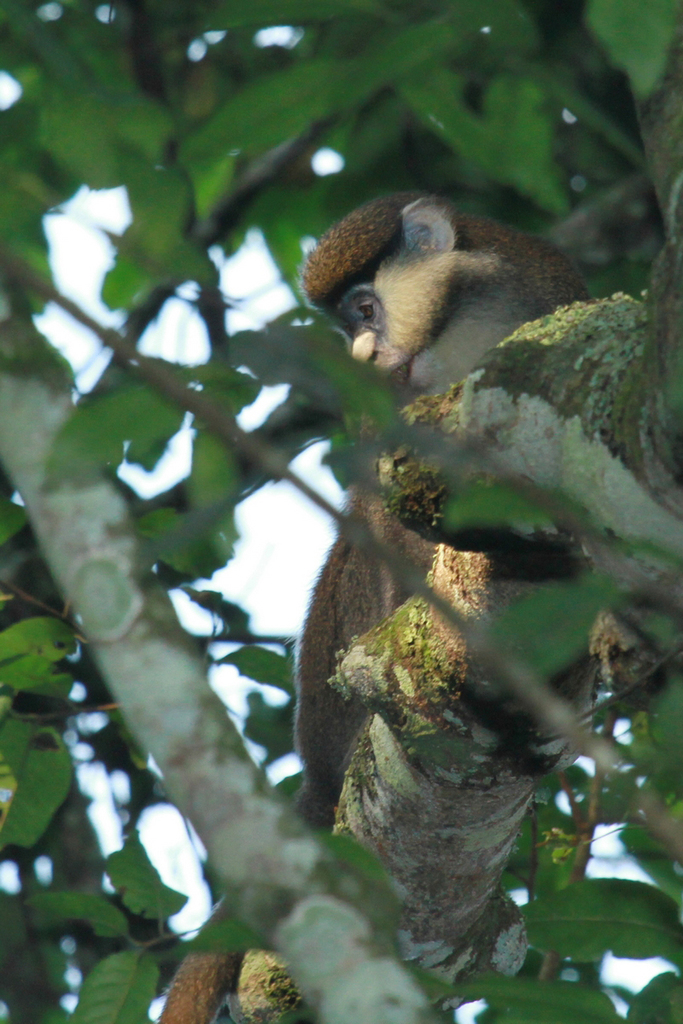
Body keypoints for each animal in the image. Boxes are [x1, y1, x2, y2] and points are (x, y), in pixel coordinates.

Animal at [158, 192, 588, 1022]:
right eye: (345, 326)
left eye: (363, 308)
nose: (361, 354)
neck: (458, 328)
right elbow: (382, 508)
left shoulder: (546, 294)